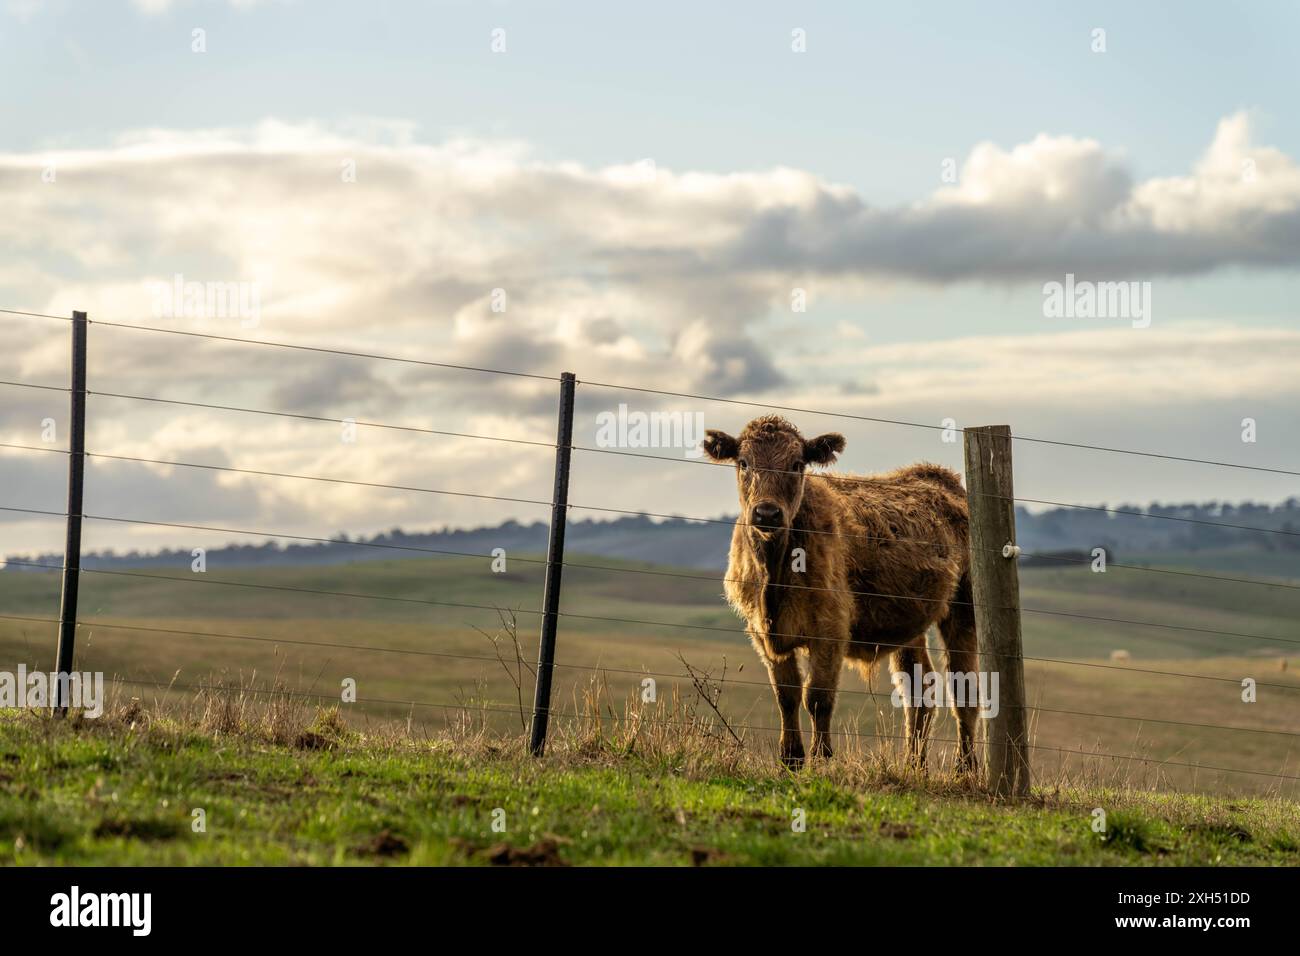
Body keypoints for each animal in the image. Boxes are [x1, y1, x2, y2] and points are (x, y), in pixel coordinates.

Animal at [702, 414, 979, 773]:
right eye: (744, 462)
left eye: (796, 464)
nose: (766, 513)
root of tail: (939, 475)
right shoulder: (762, 633)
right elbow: (787, 695)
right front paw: (791, 758)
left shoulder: (830, 630)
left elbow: (817, 697)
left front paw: (821, 759)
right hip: (908, 625)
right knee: (919, 688)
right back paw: (913, 765)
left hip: (964, 607)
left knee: (965, 687)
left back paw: (965, 767)